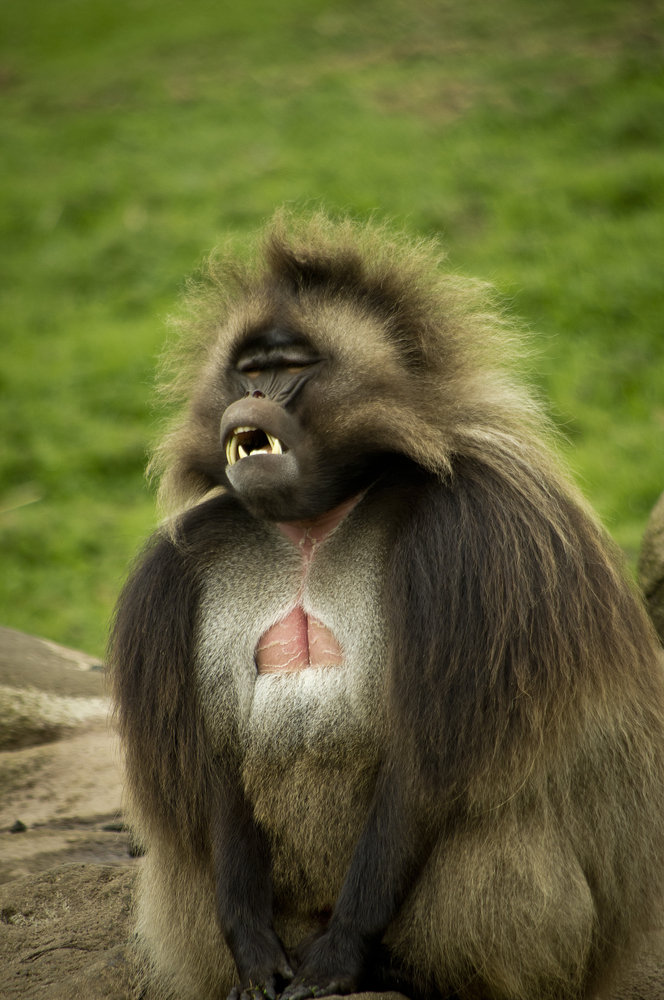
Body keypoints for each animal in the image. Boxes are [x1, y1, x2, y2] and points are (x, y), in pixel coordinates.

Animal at [109, 210, 664, 1000]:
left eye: (293, 366)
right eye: (250, 369)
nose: (253, 401)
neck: (314, 521)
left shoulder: (473, 539)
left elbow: (421, 765)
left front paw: (342, 959)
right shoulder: (179, 572)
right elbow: (216, 762)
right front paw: (252, 957)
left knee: (500, 845)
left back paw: (406, 972)